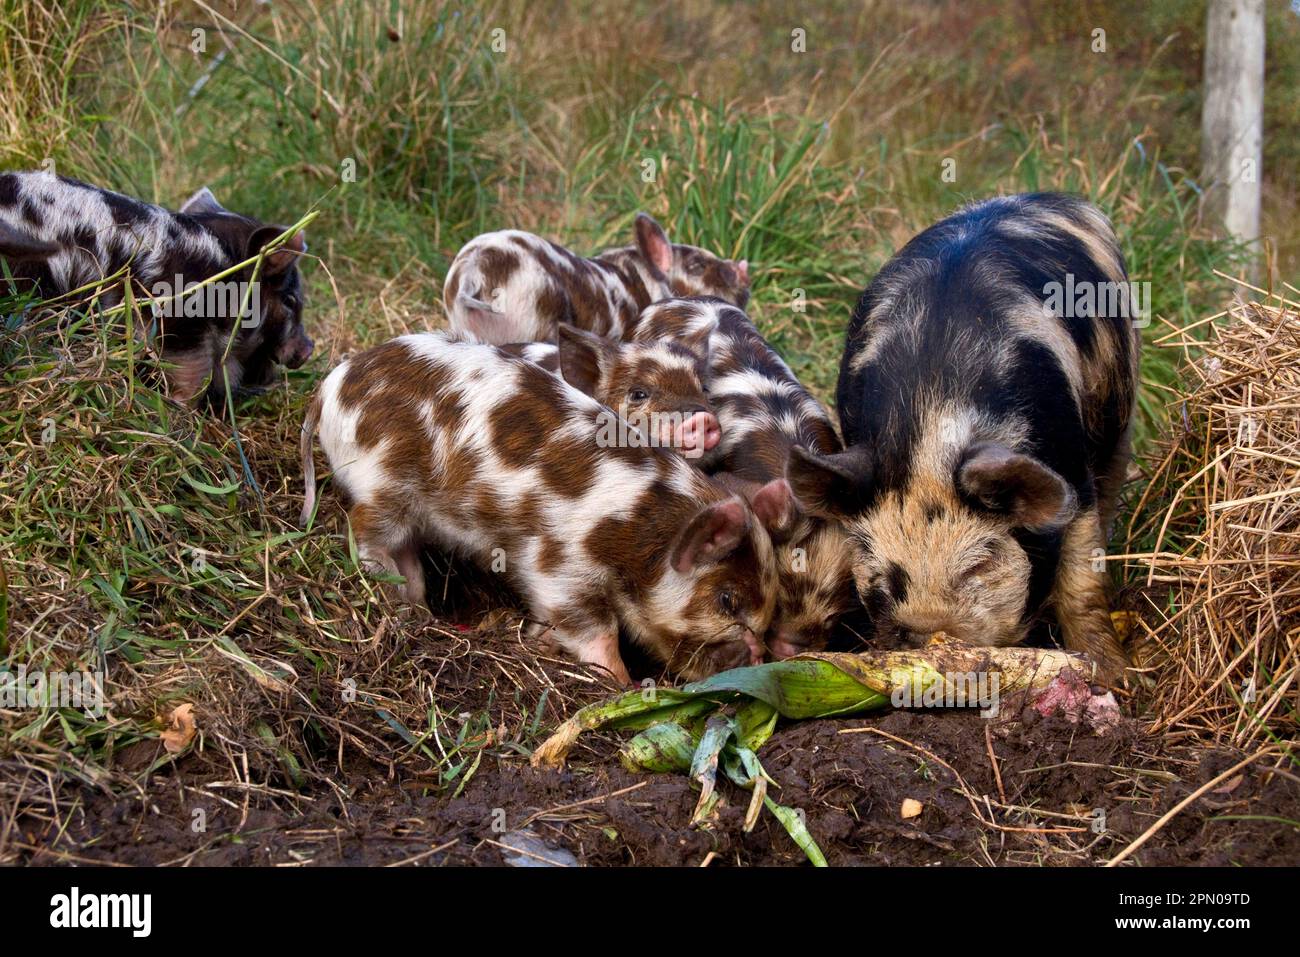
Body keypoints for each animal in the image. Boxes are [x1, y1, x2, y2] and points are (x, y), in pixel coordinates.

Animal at [787, 193, 1138, 683]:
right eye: (885, 578)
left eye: (979, 566)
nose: (933, 632)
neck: (931, 432)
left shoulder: (1070, 466)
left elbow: (1081, 579)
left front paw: (1117, 679)